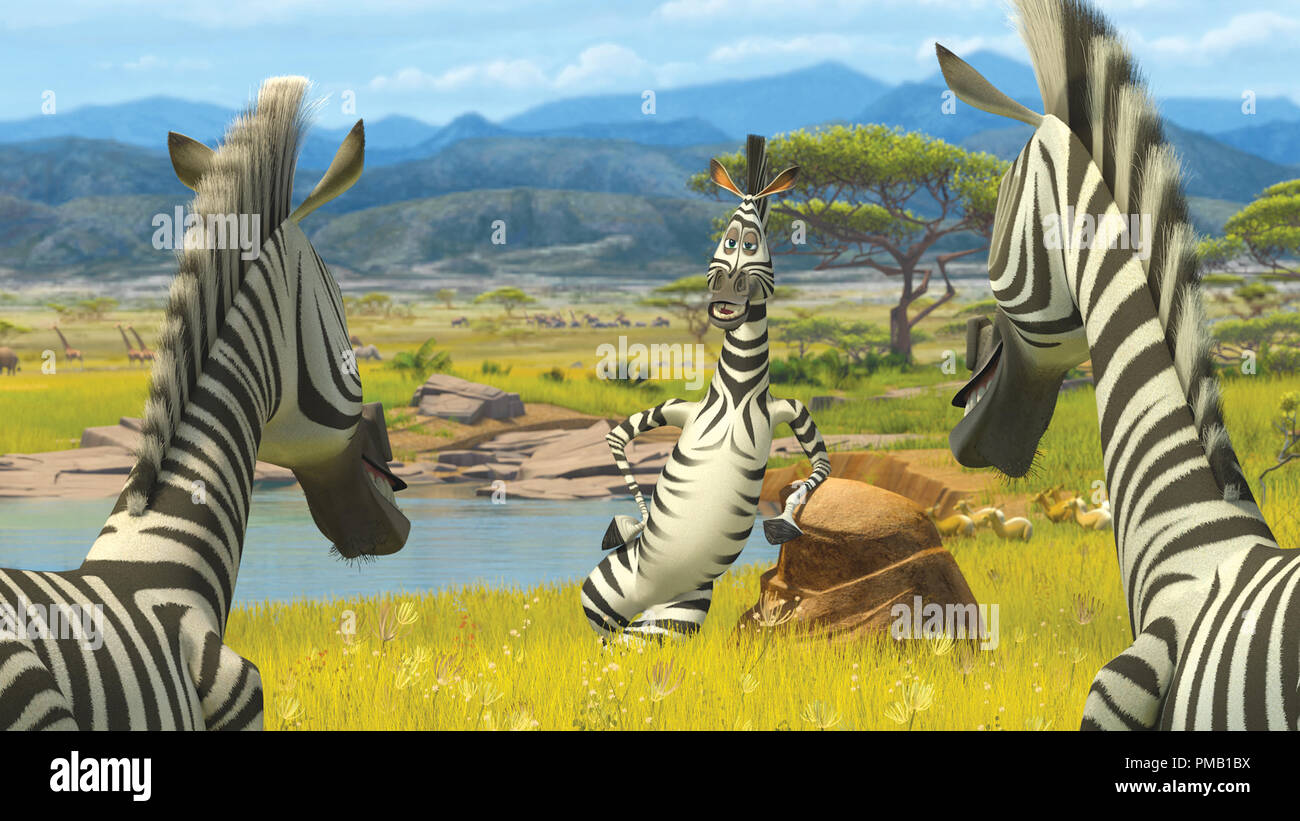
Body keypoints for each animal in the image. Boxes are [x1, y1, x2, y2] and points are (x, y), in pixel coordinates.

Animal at [580, 135, 832, 640]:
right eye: (728, 239)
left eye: (753, 243)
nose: (727, 287)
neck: (737, 392)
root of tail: (649, 597)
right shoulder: (680, 409)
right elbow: (620, 437)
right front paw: (637, 523)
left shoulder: (790, 411)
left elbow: (818, 466)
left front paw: (784, 523)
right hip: (606, 589)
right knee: (603, 633)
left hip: (678, 613)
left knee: (629, 643)